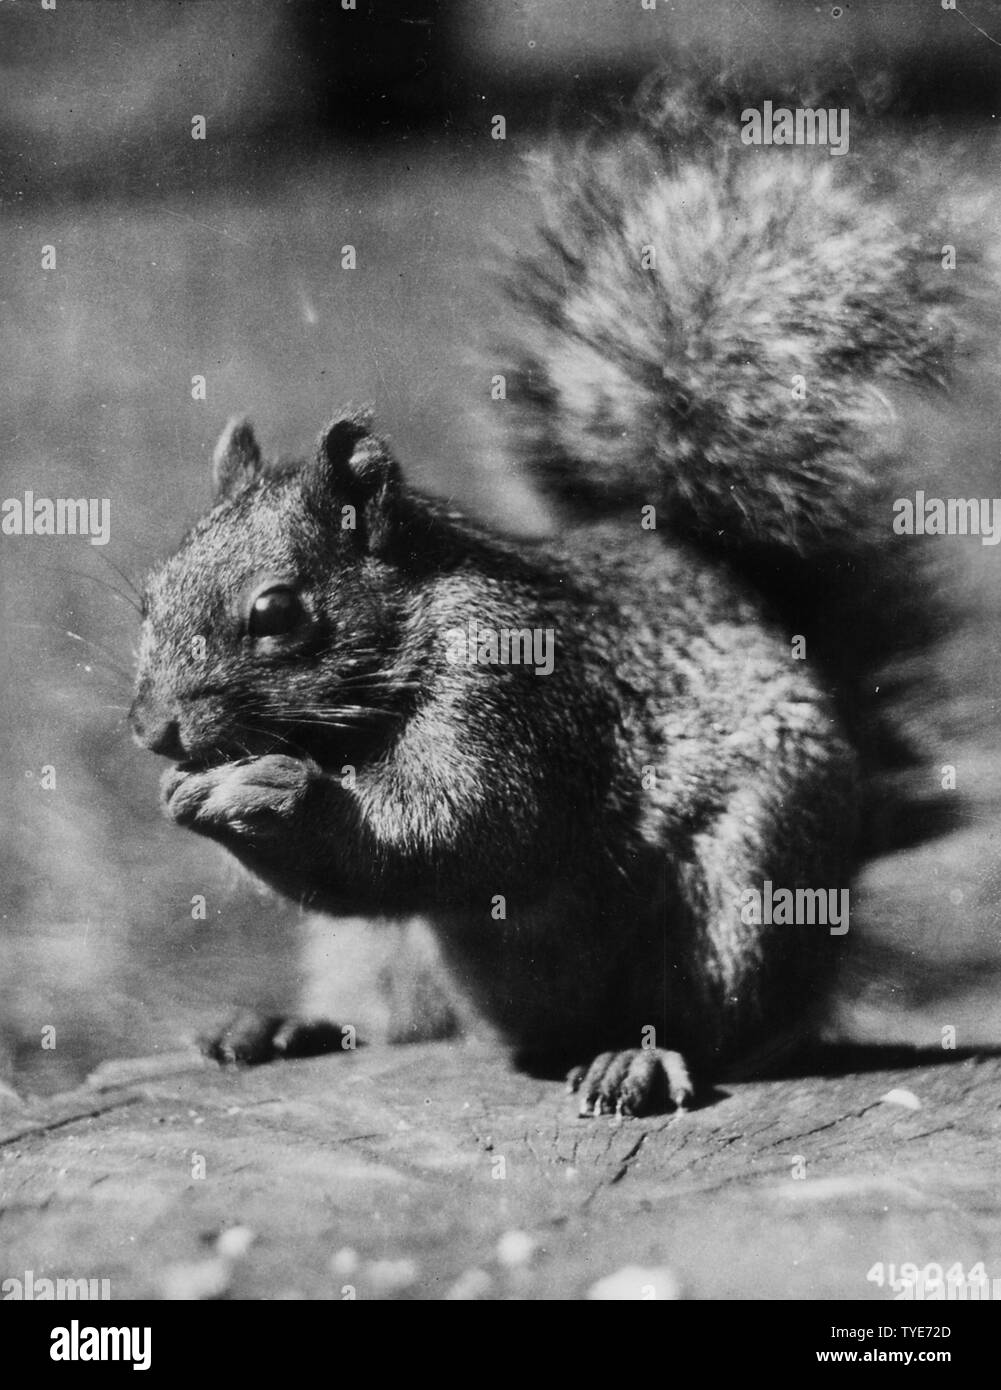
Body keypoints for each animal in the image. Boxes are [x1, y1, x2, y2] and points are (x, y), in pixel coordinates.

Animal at [129, 74, 979, 1116]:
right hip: (384, 955)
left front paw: (273, 789)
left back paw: (638, 1058)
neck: (417, 625)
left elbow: (456, 834)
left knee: (735, 1028)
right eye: (149, 597)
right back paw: (294, 1024)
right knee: (400, 1005)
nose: (153, 731)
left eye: (276, 612)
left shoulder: (512, 693)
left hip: (747, 887)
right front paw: (188, 790)